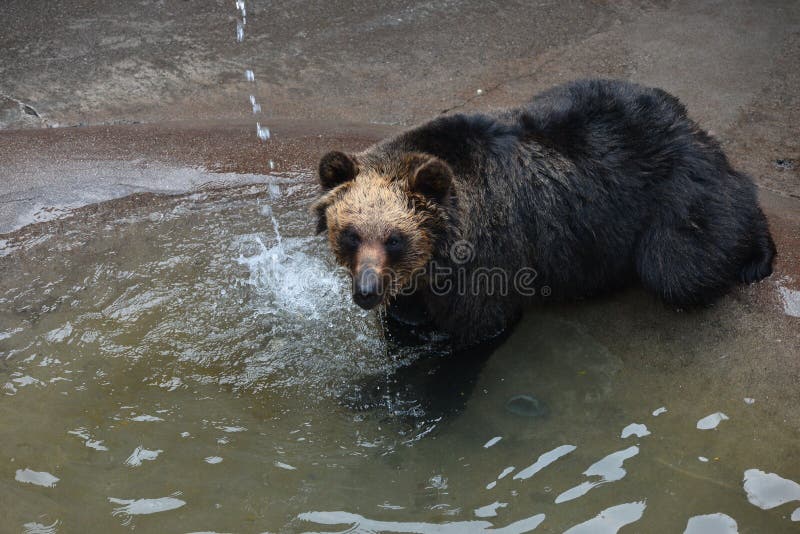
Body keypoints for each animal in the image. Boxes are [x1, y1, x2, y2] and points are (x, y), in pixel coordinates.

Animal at [311, 79, 776, 350]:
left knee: (680, 263)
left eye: (395, 238)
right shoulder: (417, 280)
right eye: (350, 234)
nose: (366, 290)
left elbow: (478, 326)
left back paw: (757, 256)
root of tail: (684, 118)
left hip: (671, 193)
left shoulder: (488, 258)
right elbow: (406, 319)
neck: (440, 254)